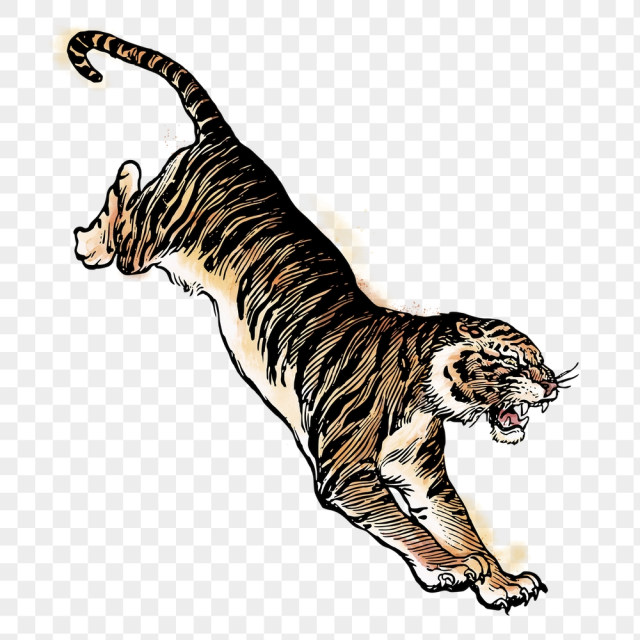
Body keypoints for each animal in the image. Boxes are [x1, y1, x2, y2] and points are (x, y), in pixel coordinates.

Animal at [68, 31, 574, 612]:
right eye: (511, 361)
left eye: (541, 361)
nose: (551, 387)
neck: (428, 396)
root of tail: (224, 140)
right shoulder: (347, 472)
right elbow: (409, 528)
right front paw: (451, 569)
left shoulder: (422, 474)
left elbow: (460, 526)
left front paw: (500, 580)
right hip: (150, 238)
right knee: (125, 201)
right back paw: (93, 234)